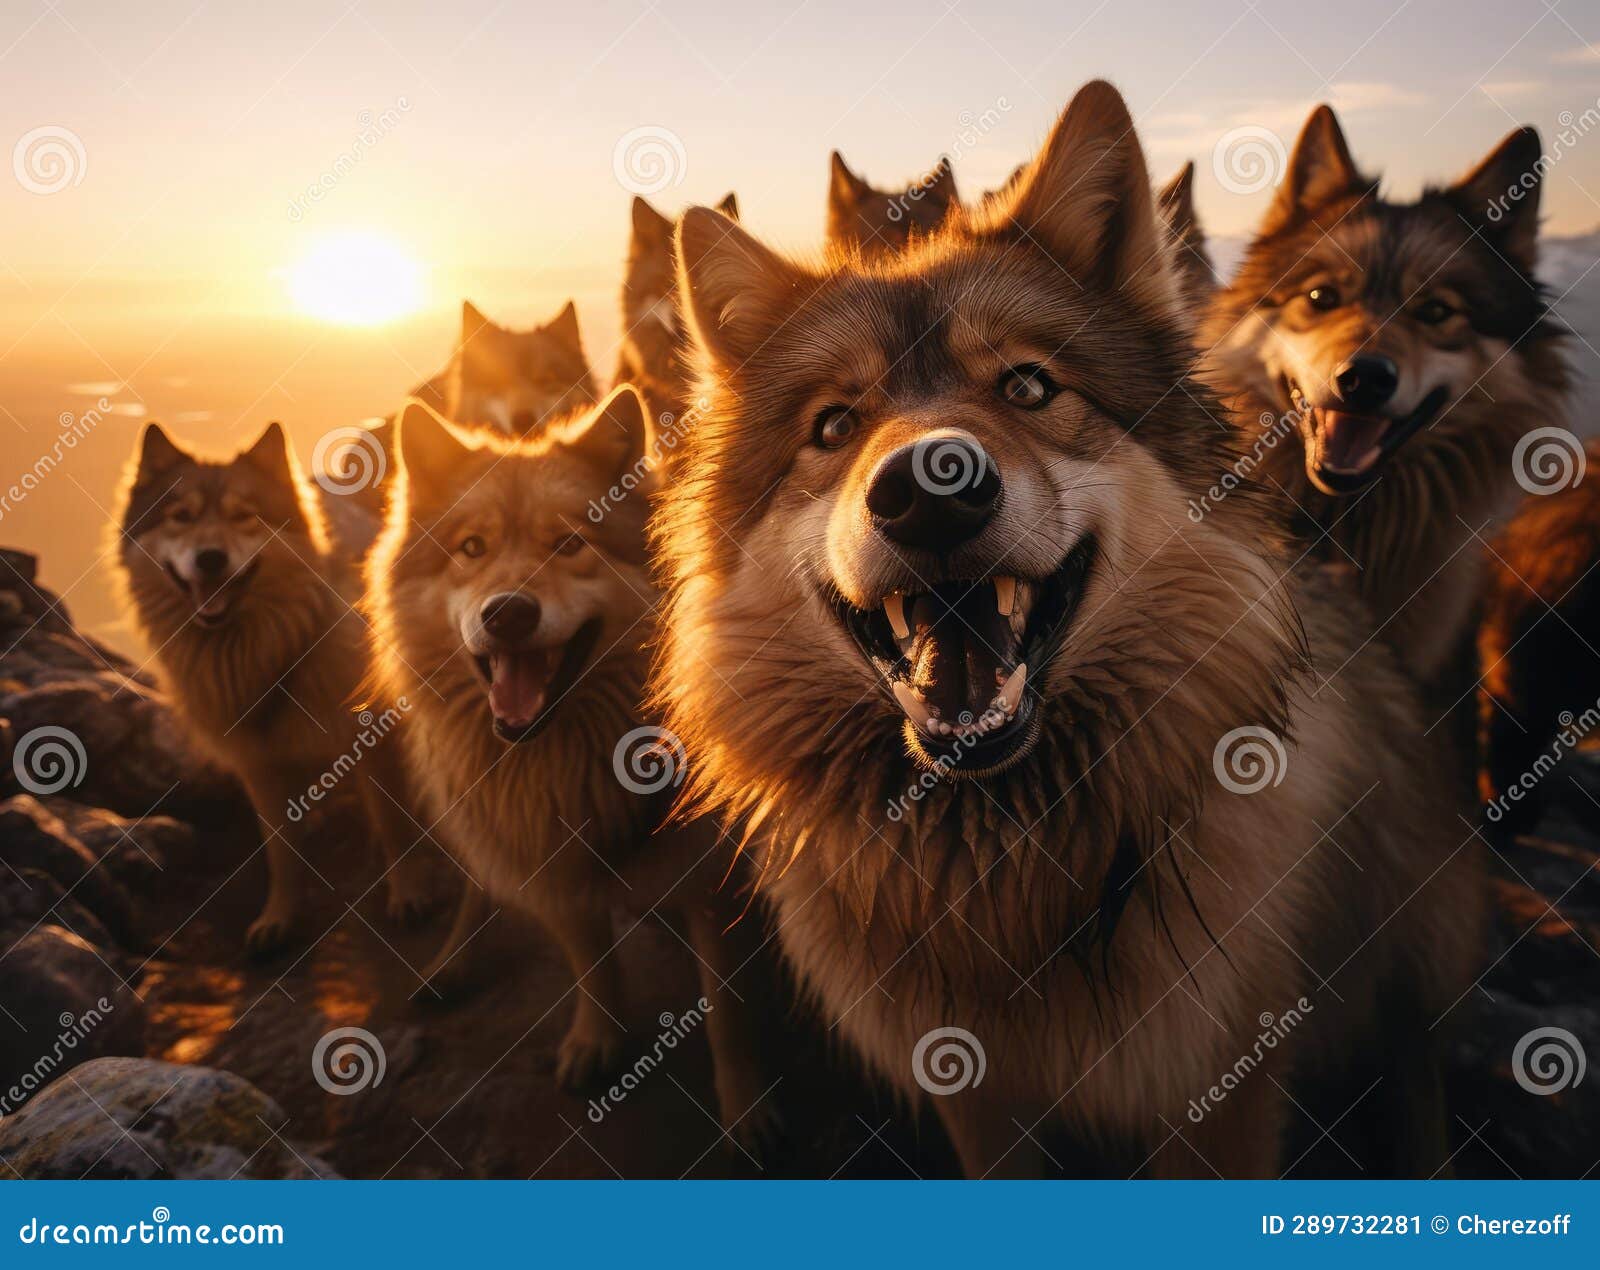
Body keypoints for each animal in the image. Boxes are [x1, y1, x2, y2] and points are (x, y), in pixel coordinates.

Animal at [111, 422, 431, 952]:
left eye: (244, 516)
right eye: (181, 517)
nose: (210, 559)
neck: (269, 648)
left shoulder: (370, 740)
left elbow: (393, 825)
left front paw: (408, 893)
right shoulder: (258, 765)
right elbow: (281, 852)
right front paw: (278, 918)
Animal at [364, 386, 774, 1148]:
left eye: (569, 544)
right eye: (472, 548)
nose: (508, 613)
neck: (572, 759)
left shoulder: (713, 884)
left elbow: (729, 1014)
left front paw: (747, 1110)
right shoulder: (551, 861)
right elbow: (591, 964)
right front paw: (598, 1039)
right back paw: (449, 962)